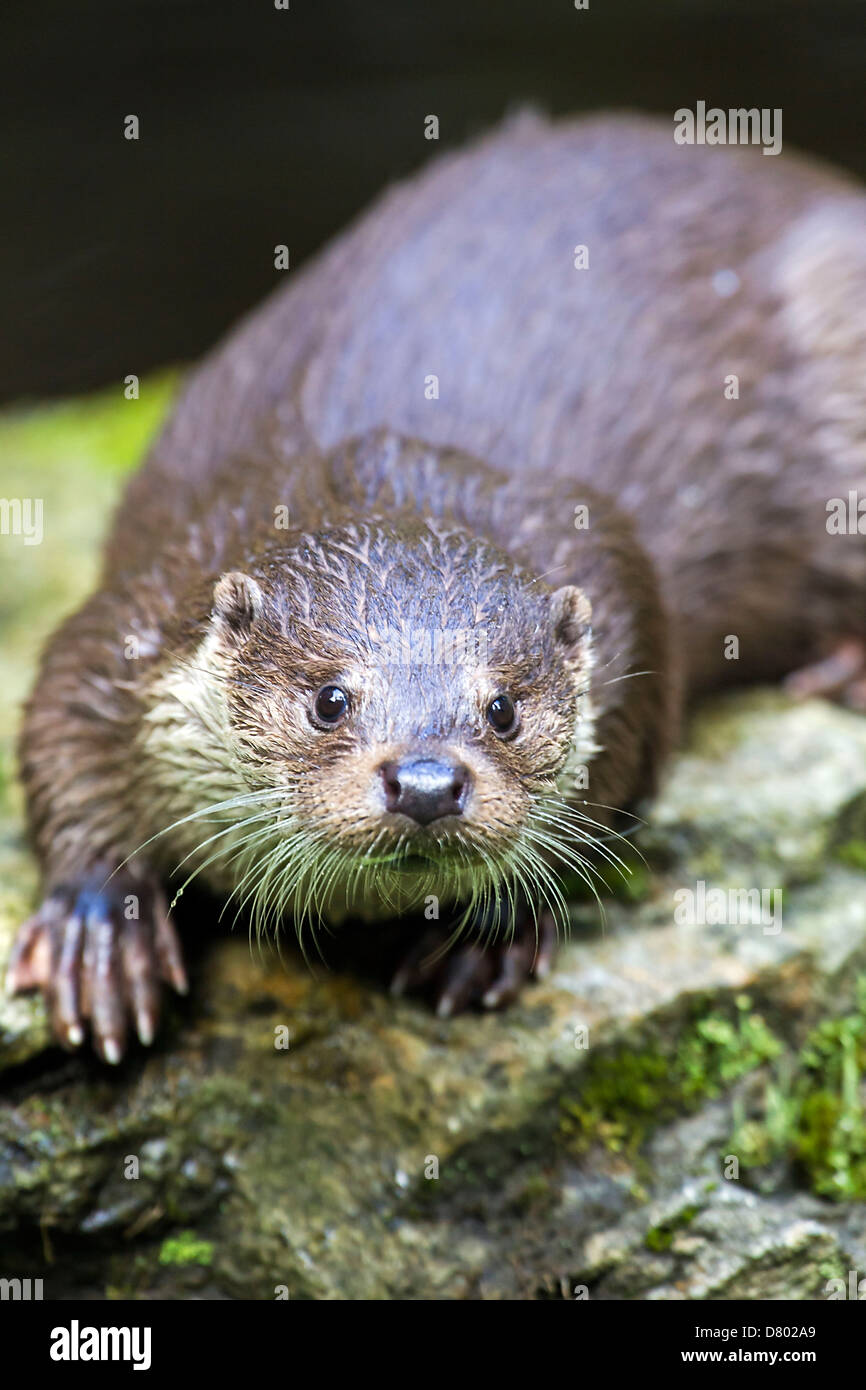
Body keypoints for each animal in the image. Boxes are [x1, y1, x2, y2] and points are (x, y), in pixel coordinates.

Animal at [8, 113, 866, 1061]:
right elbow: (61, 727)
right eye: (330, 700)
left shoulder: (625, 600)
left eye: (504, 709)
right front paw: (99, 929)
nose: (425, 782)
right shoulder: (145, 604)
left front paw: (487, 932)